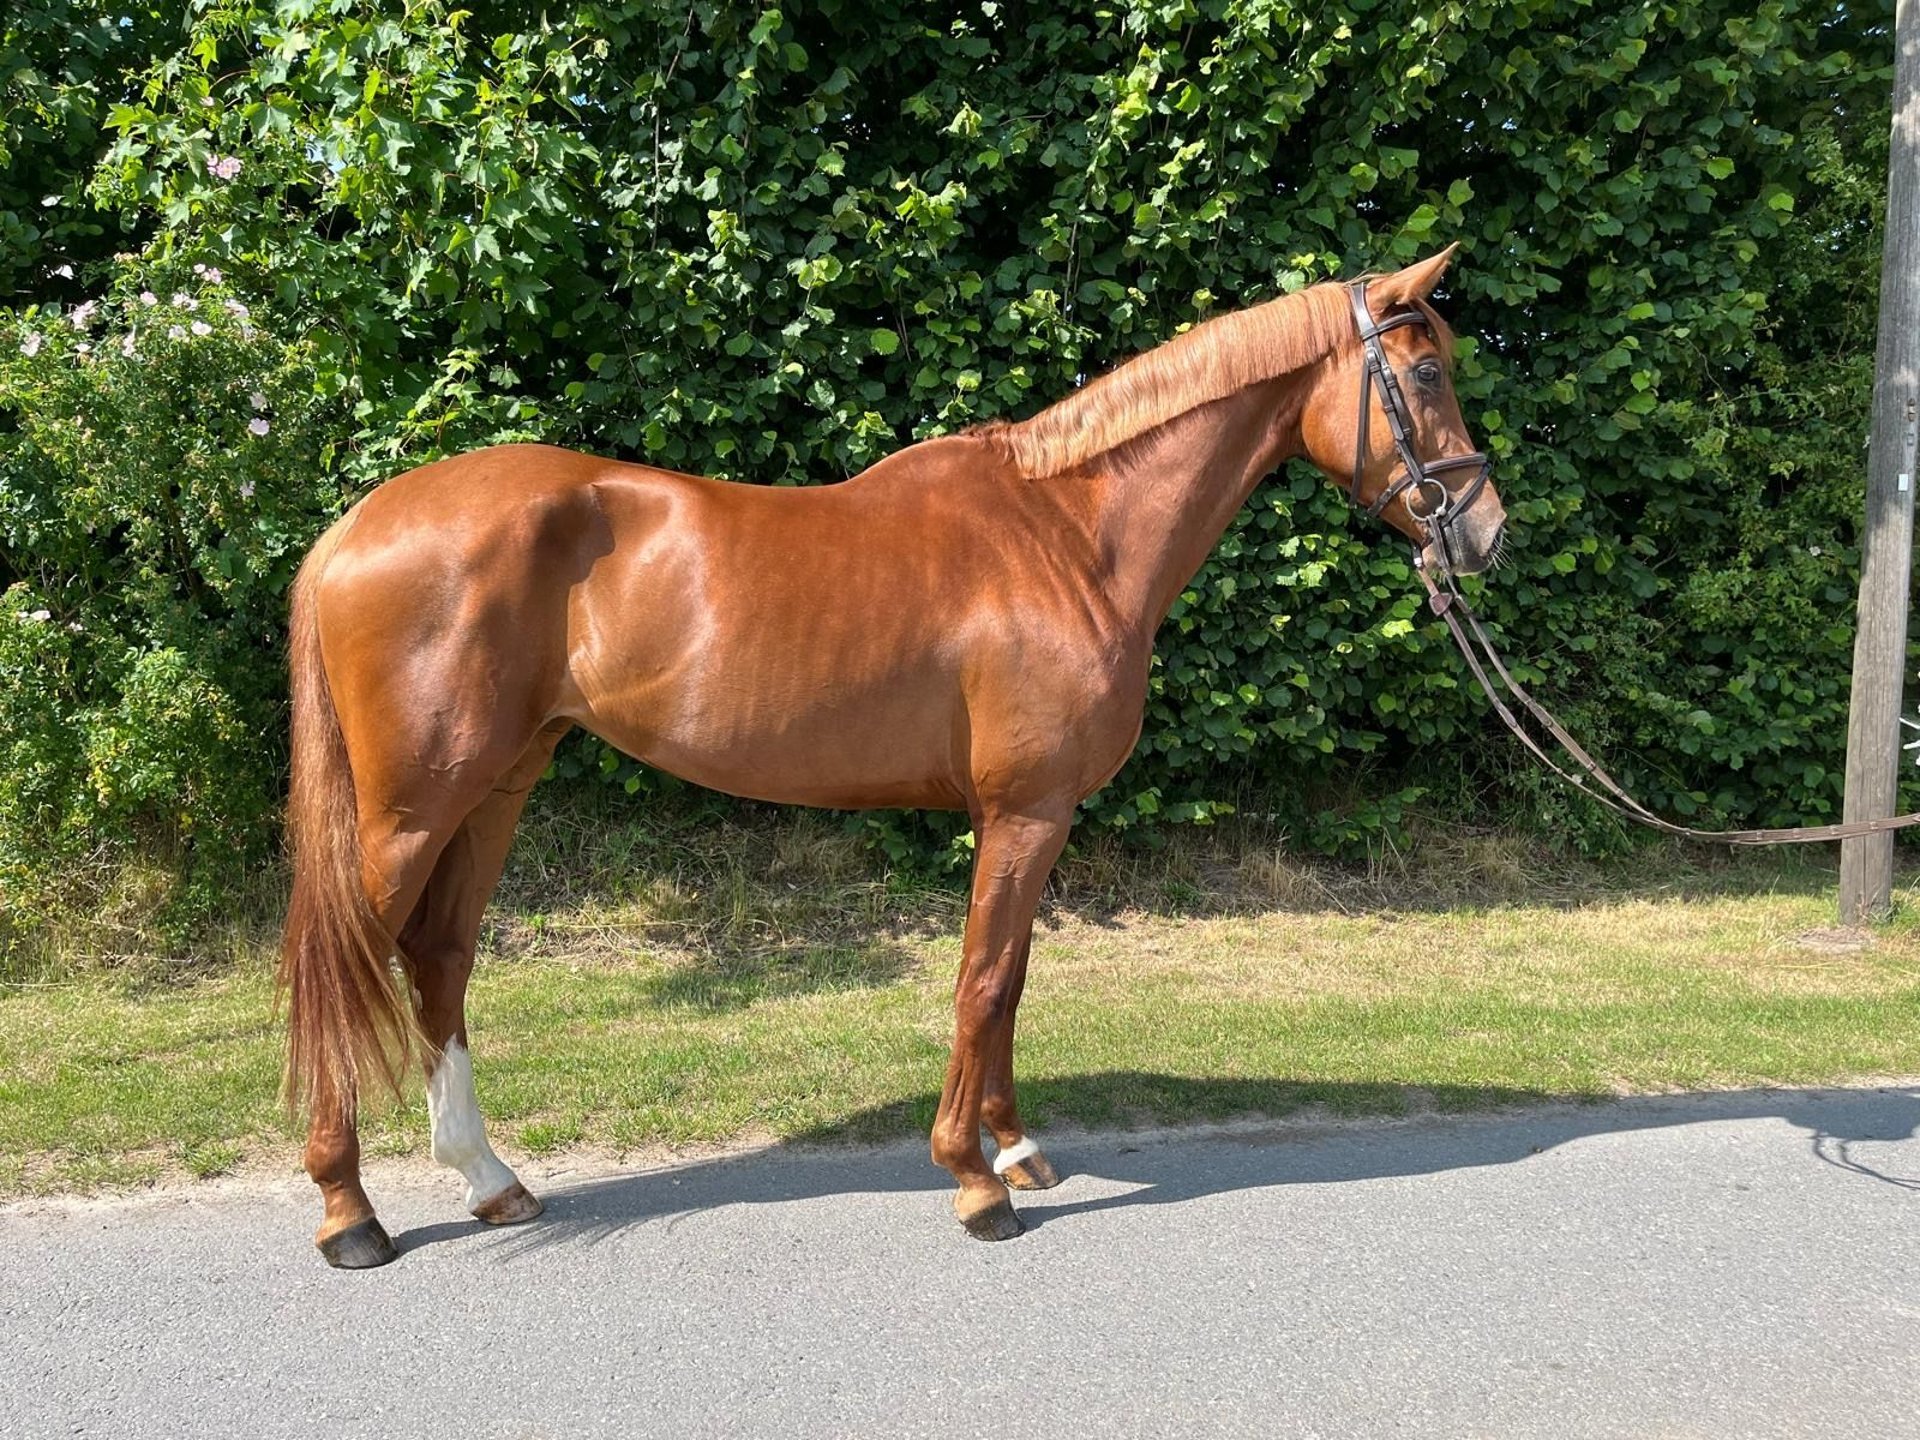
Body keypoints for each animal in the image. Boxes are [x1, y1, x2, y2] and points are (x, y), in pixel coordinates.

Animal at [280, 243, 1506, 1268]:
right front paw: (976, 1182)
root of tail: (351, 529)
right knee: (348, 958)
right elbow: (983, 980)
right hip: (412, 808)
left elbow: (1010, 982)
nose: (1486, 532)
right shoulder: (1026, 809)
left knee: (439, 958)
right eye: (1425, 374)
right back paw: (350, 1214)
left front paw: (1016, 1151)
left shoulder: (1030, 817)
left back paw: (490, 1181)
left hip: (496, 786)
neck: (1069, 534)